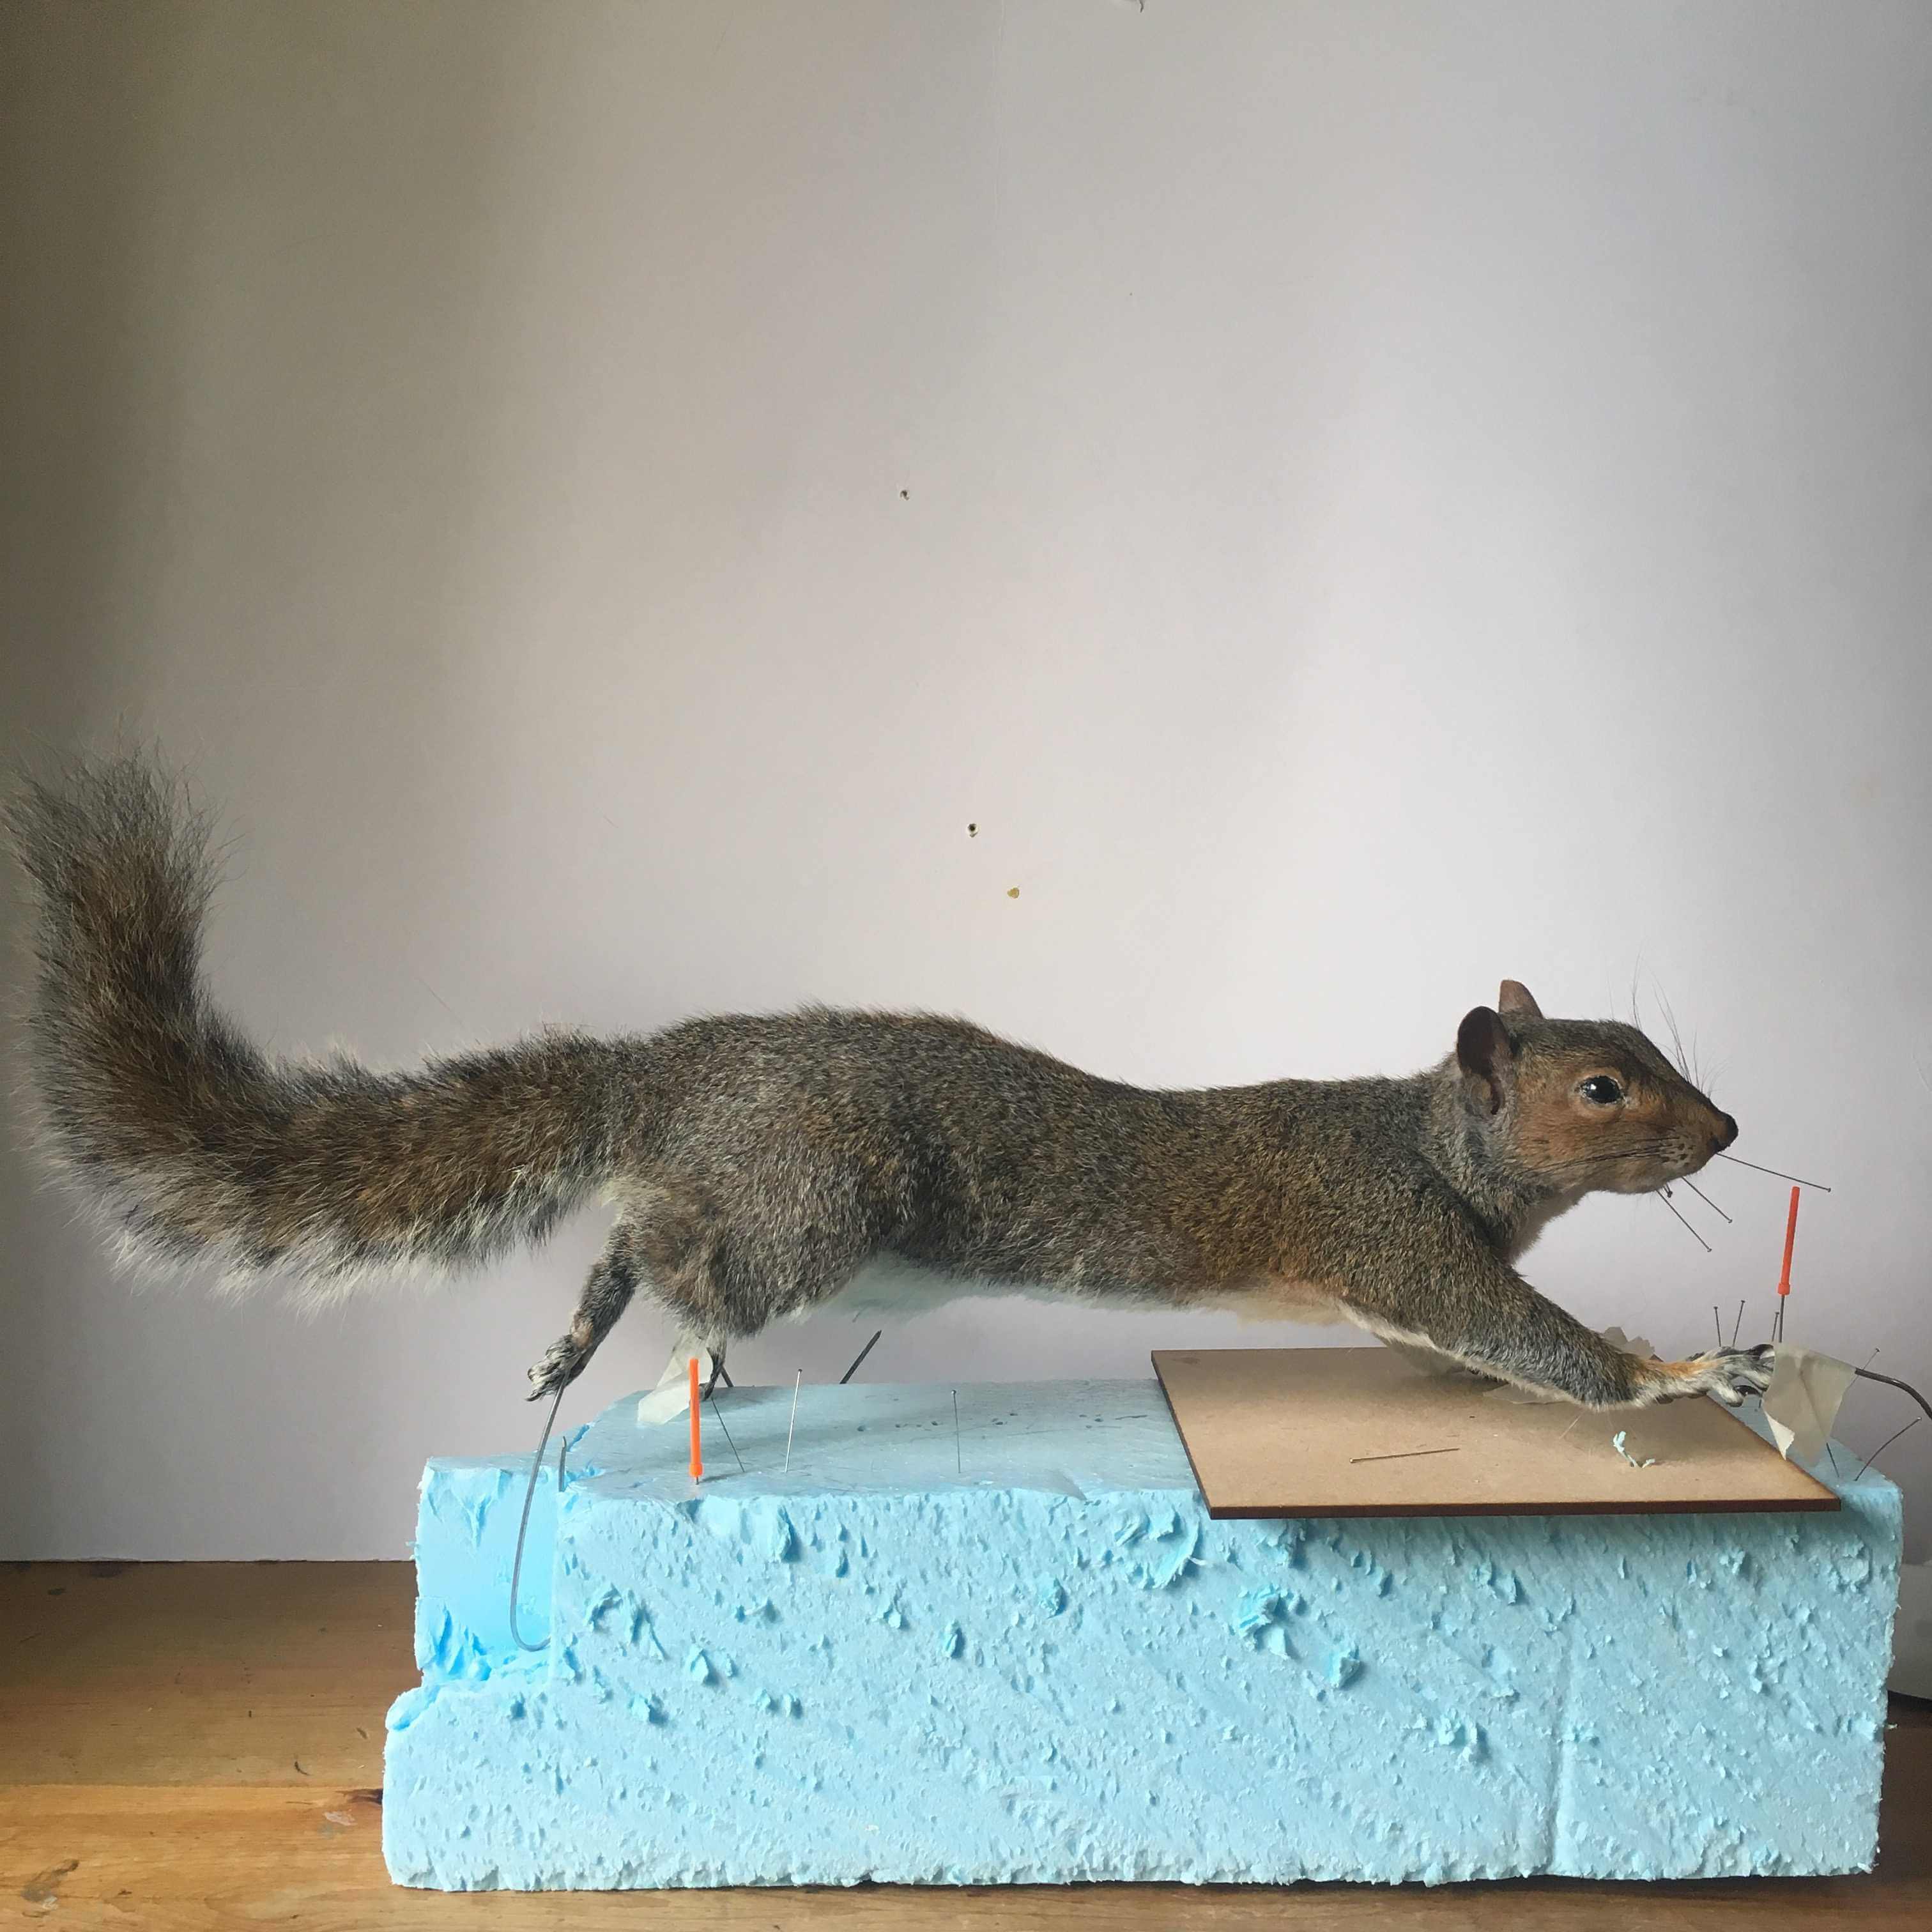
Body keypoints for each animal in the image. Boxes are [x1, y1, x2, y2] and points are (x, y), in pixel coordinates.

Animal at [8, 754, 1772, 1414]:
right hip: (810, 1201)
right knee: (667, 1248)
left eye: (1655, 1057)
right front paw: (1677, 1373)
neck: (1435, 1143)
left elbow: (1477, 1345)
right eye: (1603, 1087)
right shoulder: (1389, 1234)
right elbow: (1519, 1338)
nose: (1732, 1126)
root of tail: (666, 1073)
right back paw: (628, 1341)